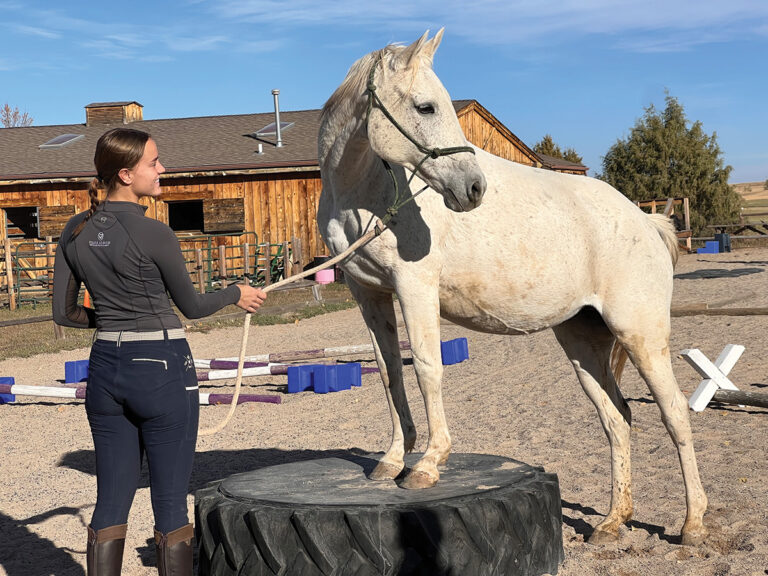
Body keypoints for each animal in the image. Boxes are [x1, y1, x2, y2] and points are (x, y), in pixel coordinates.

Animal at [316, 29, 707, 545]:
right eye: (425, 107)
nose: (473, 188)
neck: (366, 193)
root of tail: (645, 221)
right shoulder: (370, 294)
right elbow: (389, 373)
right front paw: (392, 460)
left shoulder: (414, 287)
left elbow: (427, 370)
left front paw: (427, 465)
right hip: (583, 341)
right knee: (617, 419)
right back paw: (612, 521)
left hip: (640, 336)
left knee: (675, 414)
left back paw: (693, 524)